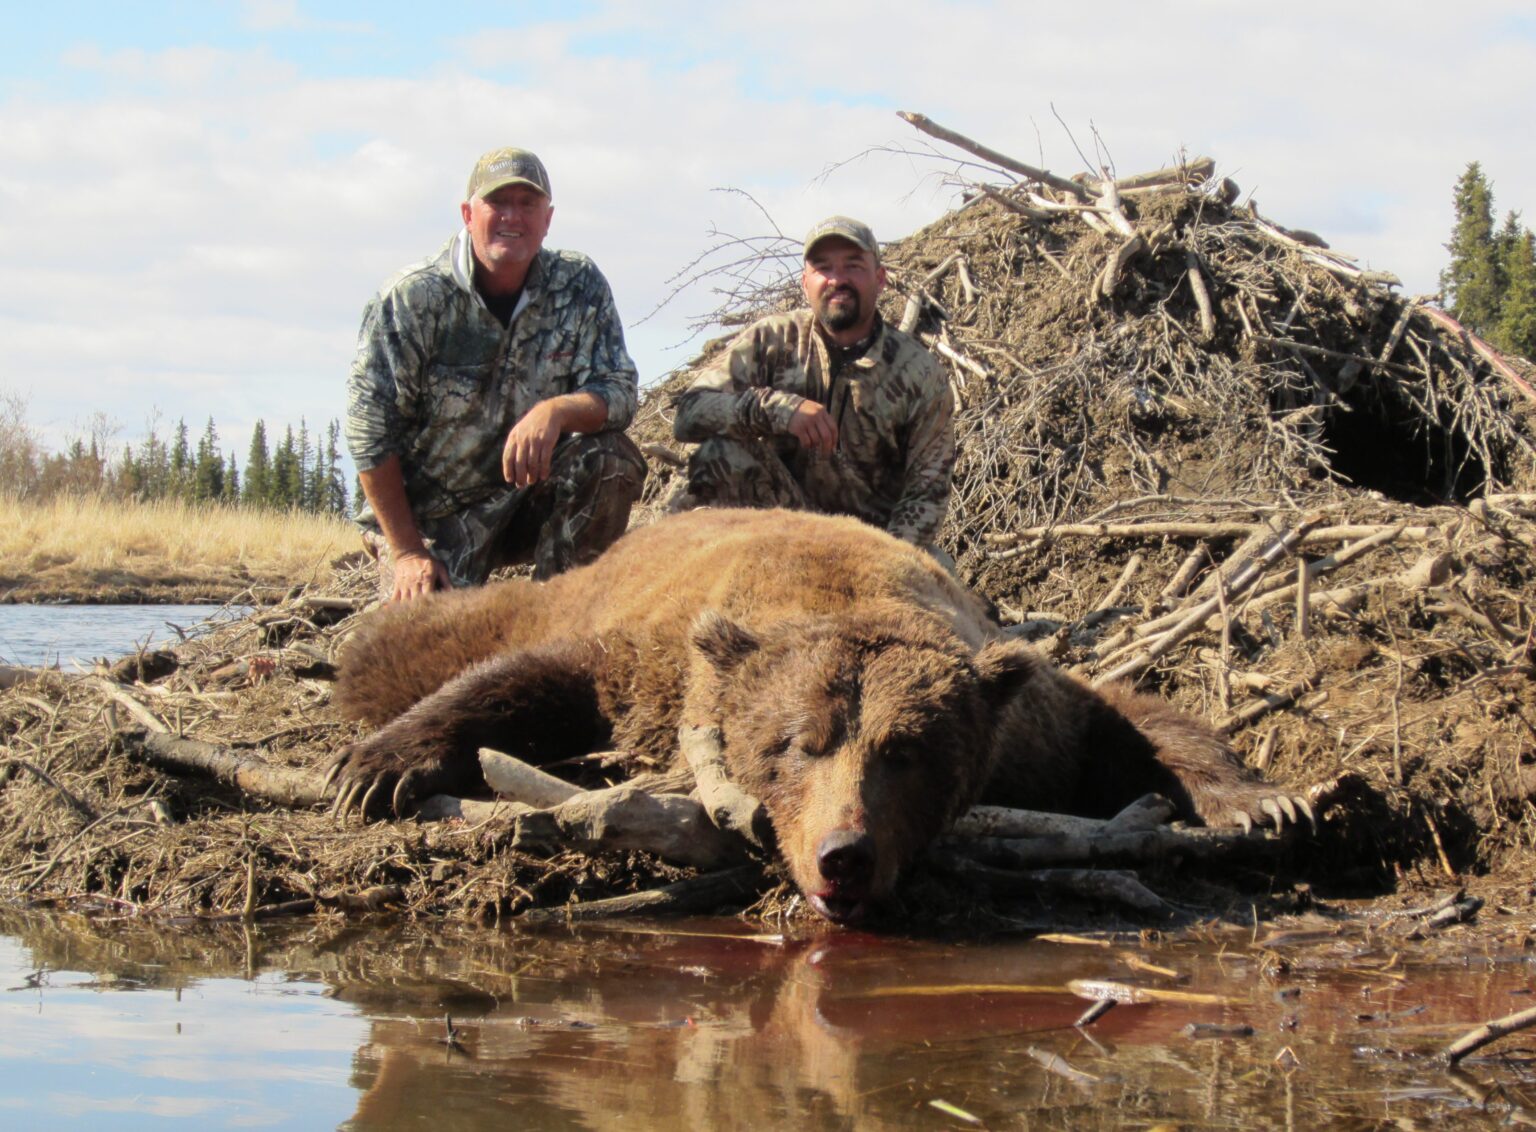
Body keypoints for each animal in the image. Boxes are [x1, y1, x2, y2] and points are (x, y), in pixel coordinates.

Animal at [326, 507, 1308, 924]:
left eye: (908, 753)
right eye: (798, 745)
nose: (845, 856)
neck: (838, 590)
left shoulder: (1030, 722)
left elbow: (1125, 720)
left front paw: (1266, 799)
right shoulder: (647, 669)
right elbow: (533, 678)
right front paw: (376, 766)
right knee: (422, 645)